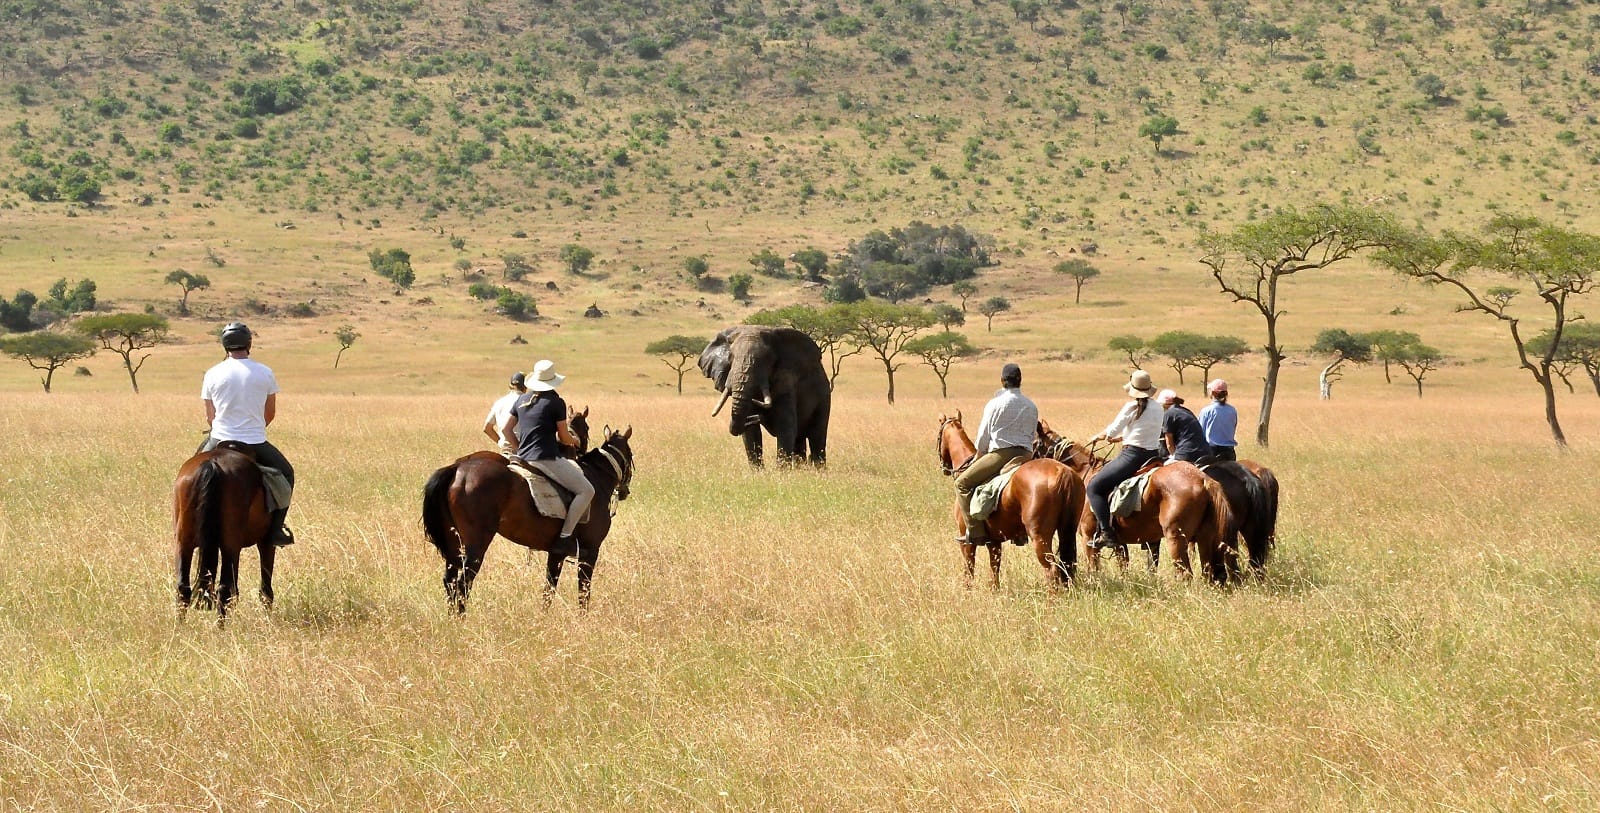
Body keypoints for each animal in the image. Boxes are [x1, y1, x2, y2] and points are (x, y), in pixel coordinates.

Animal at [173, 441, 275, 625]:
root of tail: (212, 464)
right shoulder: (266, 542)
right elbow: (265, 587)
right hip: (231, 545)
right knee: (225, 589)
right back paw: (221, 628)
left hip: (183, 543)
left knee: (183, 588)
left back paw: (180, 628)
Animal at [422, 427, 634, 613]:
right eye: (631, 456)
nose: (624, 492)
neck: (598, 478)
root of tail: (457, 467)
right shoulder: (590, 552)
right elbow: (583, 593)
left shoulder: (556, 553)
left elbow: (549, 590)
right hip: (476, 545)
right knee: (462, 584)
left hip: (454, 544)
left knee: (450, 581)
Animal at [936, 413, 1085, 590]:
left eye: (939, 436)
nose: (944, 467)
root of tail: (1062, 472)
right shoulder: (994, 542)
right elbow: (994, 570)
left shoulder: (967, 543)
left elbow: (969, 570)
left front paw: (967, 591)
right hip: (1067, 531)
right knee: (1067, 567)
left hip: (1039, 537)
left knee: (1052, 570)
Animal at [1033, 420, 1232, 584]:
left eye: (1035, 442)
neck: (1085, 472)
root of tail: (1203, 479)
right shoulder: (1120, 544)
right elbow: (1124, 568)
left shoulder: (1089, 538)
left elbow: (1093, 569)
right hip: (1205, 539)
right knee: (1207, 571)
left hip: (1176, 539)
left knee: (1185, 574)